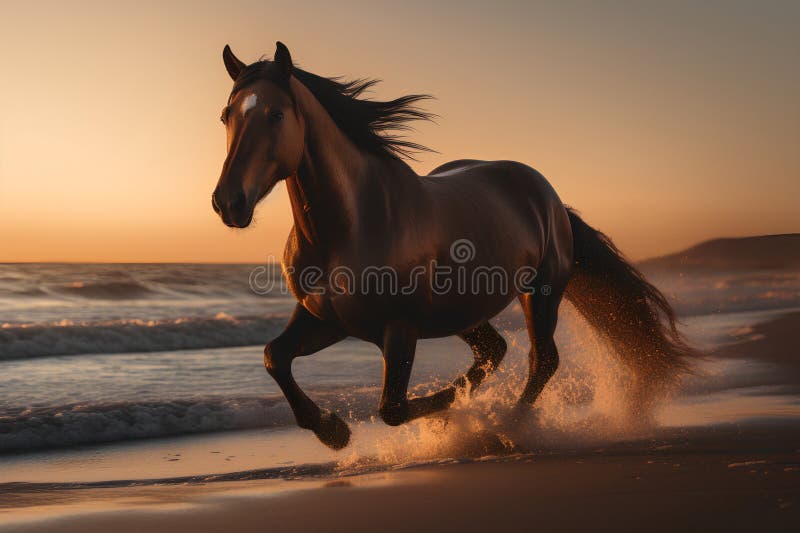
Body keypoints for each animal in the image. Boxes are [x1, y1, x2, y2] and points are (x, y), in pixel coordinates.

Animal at [212, 42, 696, 449]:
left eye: (276, 115)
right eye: (225, 115)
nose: (228, 202)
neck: (351, 226)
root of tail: (548, 194)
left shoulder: (399, 328)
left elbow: (392, 408)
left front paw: (444, 418)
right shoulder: (325, 319)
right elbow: (274, 356)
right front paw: (333, 431)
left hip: (538, 293)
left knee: (542, 360)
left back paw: (506, 426)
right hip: (464, 309)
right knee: (494, 351)